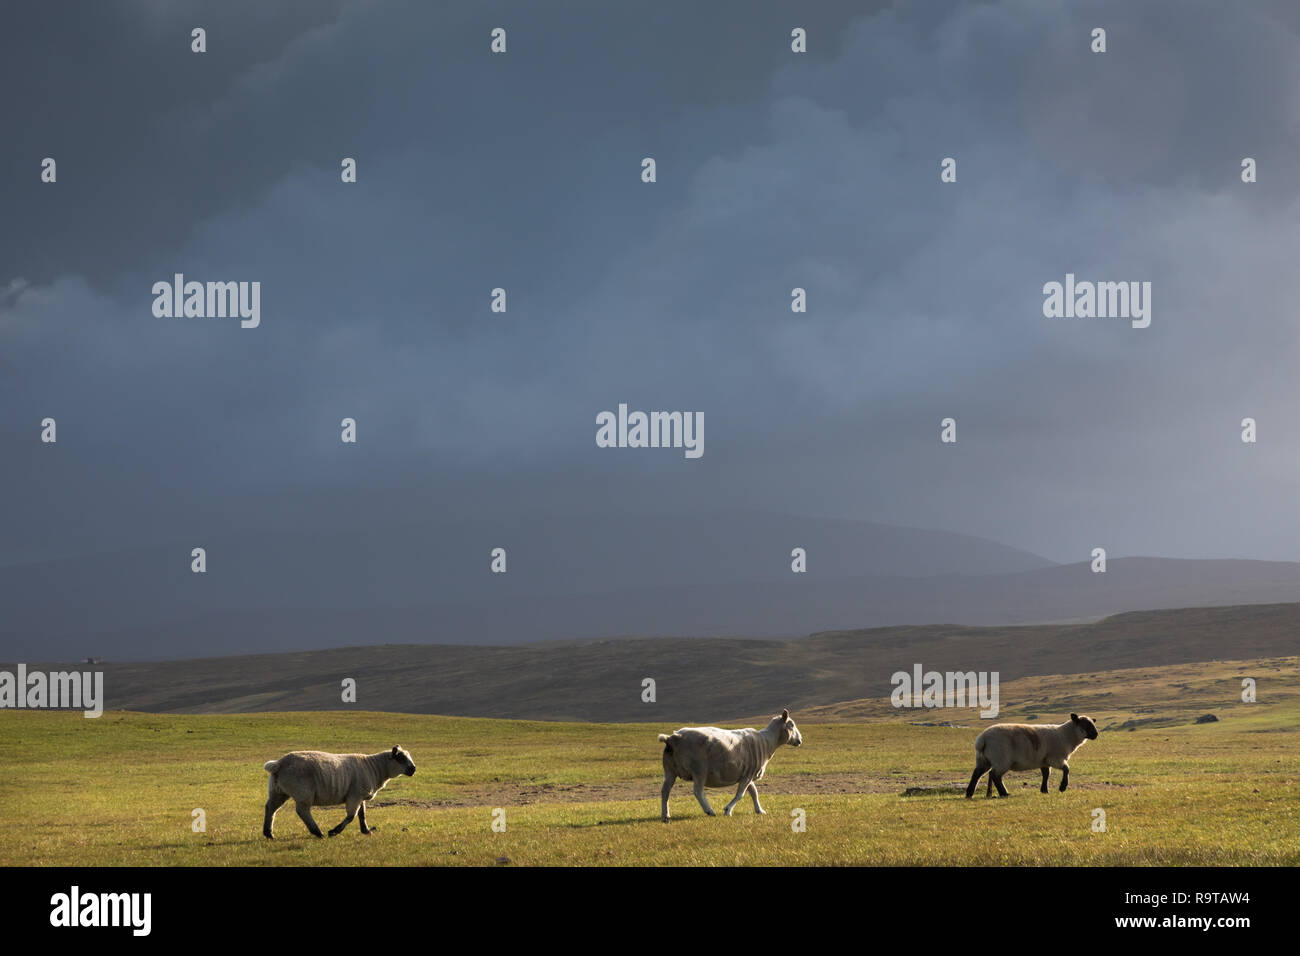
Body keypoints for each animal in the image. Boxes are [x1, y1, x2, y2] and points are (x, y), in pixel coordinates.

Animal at [262, 745, 416, 838]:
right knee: (302, 811)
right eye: (401, 758)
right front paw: (334, 831)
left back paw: (268, 834)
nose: (413, 769)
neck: (375, 767)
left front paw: (366, 831)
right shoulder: (354, 796)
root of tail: (279, 764)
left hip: (278, 791)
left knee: (270, 808)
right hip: (303, 793)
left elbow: (362, 814)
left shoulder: (360, 795)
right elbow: (351, 816)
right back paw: (318, 832)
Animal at [658, 709, 802, 822]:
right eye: (791, 725)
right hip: (699, 770)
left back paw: (665, 816)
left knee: (665, 791)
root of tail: (673, 738)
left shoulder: (748, 773)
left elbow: (754, 792)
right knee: (697, 791)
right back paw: (709, 810)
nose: (800, 740)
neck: (767, 742)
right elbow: (740, 794)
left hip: (670, 769)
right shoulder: (748, 775)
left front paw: (760, 810)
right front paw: (728, 810)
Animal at [966, 713, 1099, 798]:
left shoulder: (1044, 761)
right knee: (995, 775)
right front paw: (1062, 787)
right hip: (1002, 760)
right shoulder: (1056, 758)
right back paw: (1004, 793)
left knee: (977, 774)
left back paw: (969, 794)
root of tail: (982, 739)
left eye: (1092, 723)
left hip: (983, 759)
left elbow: (1046, 774)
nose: (1096, 735)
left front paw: (1044, 790)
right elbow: (1067, 769)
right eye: (1085, 725)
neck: (1066, 735)